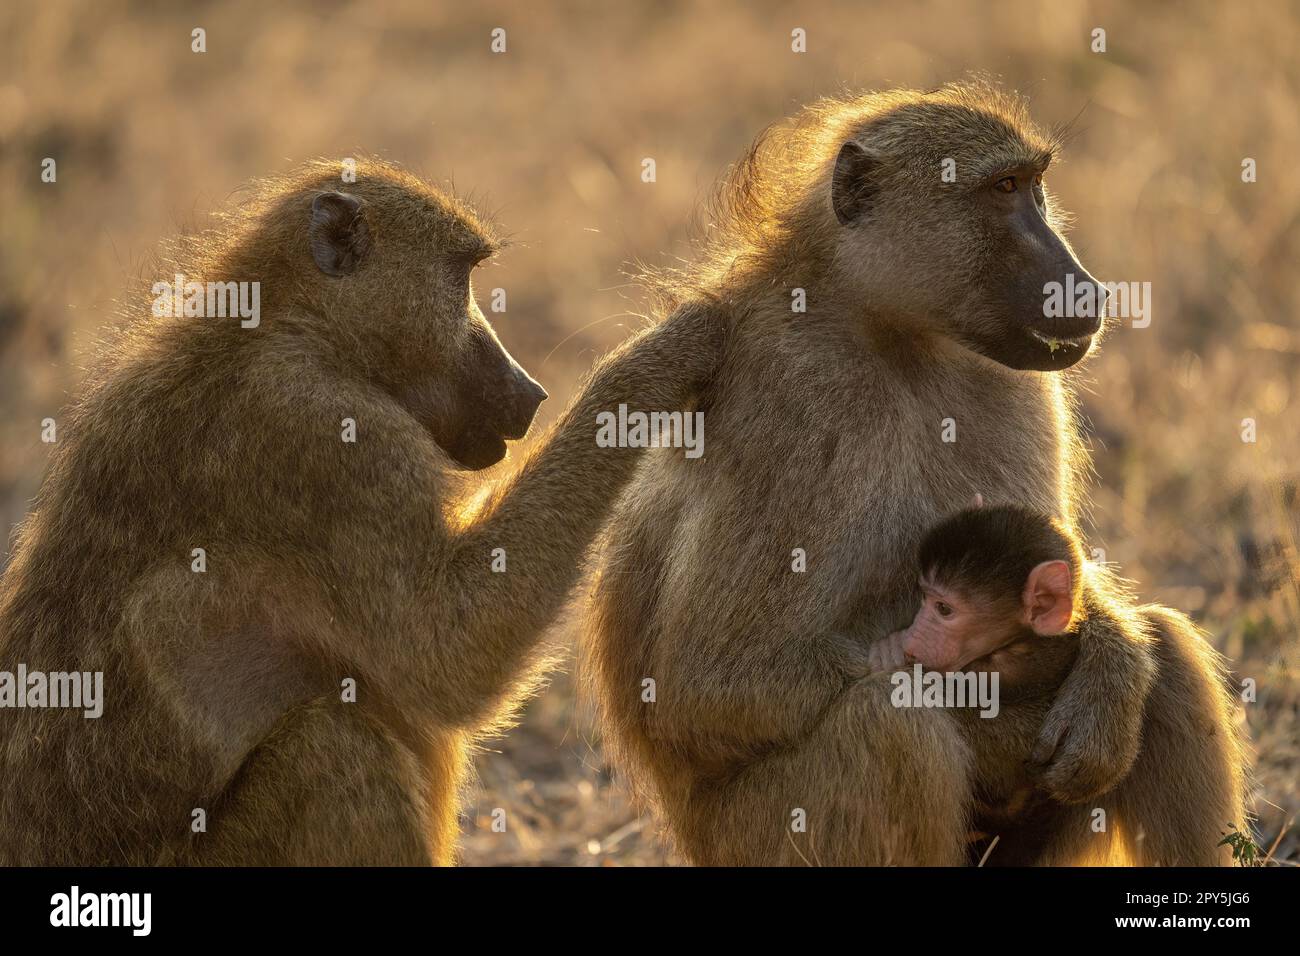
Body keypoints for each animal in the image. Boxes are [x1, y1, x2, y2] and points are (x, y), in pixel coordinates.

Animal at [0, 157, 726, 865]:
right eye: (463, 280)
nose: (531, 391)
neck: (295, 328)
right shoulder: (330, 438)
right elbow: (448, 654)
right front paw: (659, 356)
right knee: (336, 746)